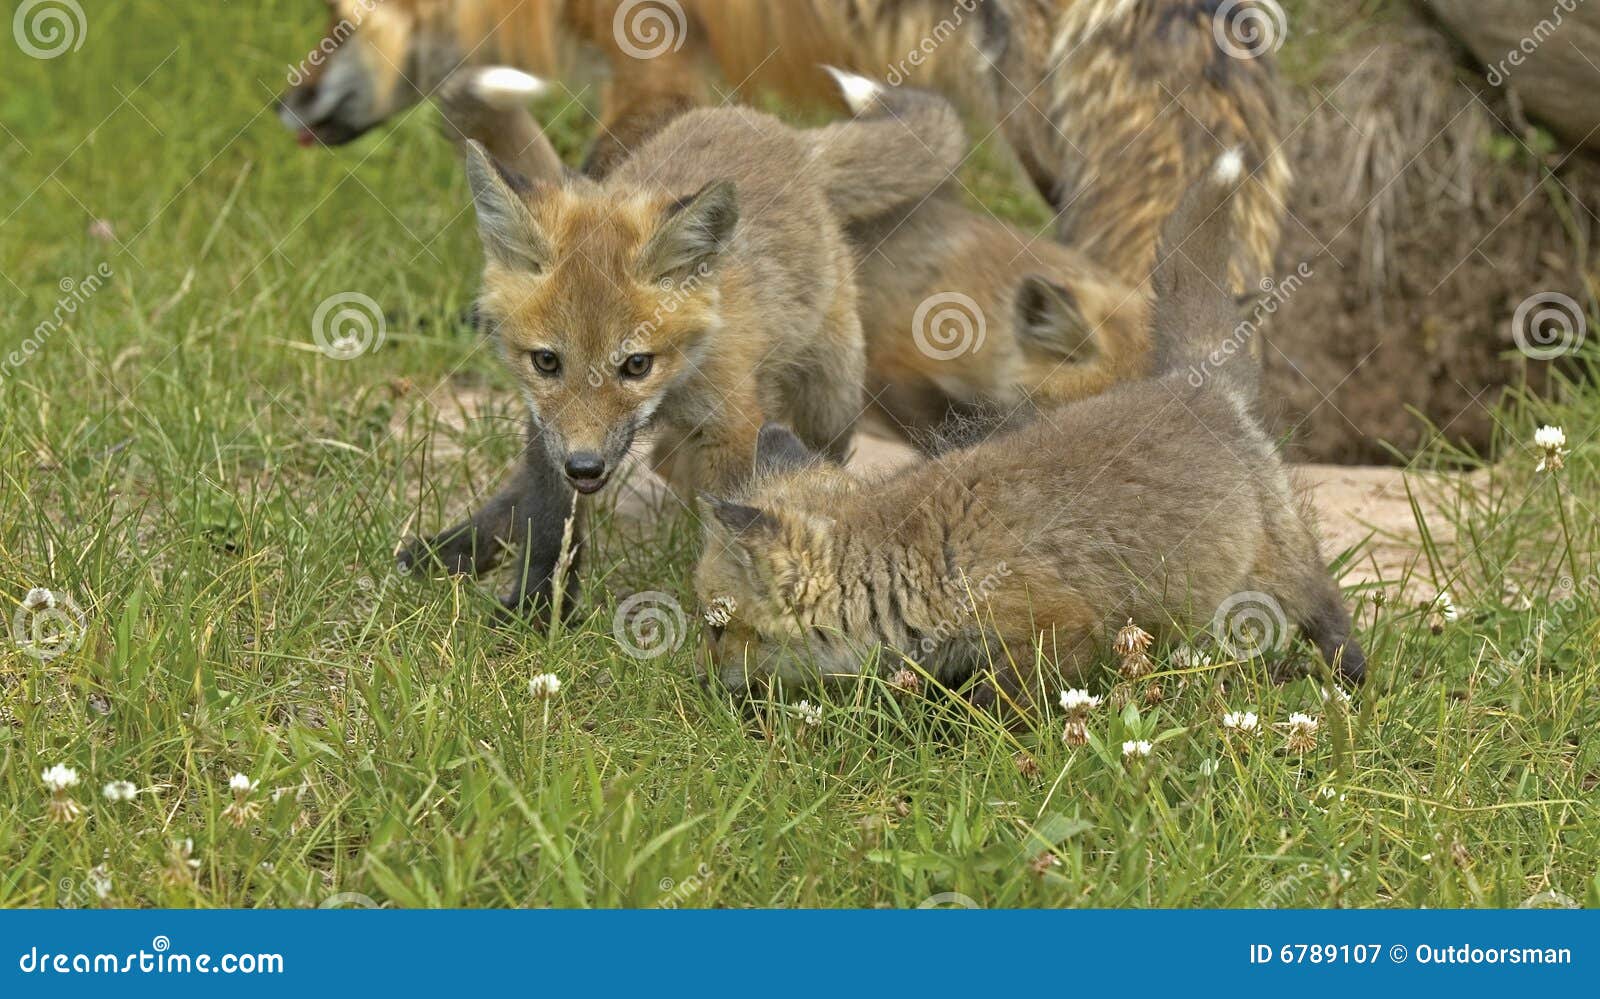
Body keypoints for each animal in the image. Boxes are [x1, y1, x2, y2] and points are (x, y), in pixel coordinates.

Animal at [398, 73, 966, 617]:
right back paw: (453, 549)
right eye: (546, 361)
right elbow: (549, 526)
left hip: (832, 397)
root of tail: (783, 135)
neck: (670, 392)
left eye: (636, 364)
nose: (586, 467)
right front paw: (536, 612)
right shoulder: (547, 425)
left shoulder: (732, 424)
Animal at [691, 151, 1366, 706]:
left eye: (717, 628)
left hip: (1280, 566)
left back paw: (1353, 678)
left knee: (1327, 606)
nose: (697, 686)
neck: (915, 563)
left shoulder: (1059, 626)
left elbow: (1000, 701)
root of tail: (1189, 379)